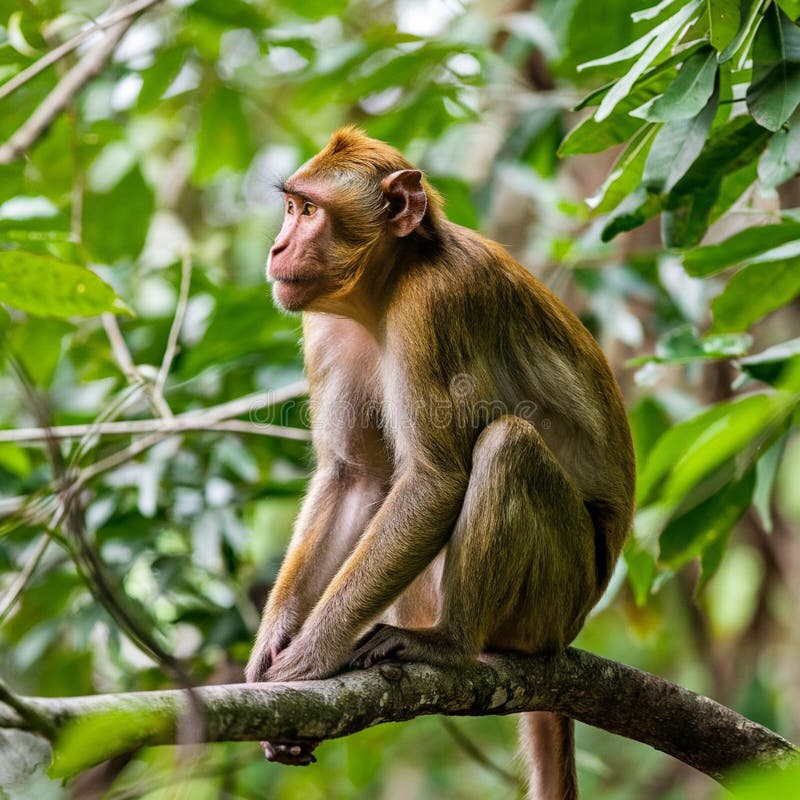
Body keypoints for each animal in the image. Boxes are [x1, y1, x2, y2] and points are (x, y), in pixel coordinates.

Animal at [245, 126, 635, 799]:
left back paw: (448, 645)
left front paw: (310, 655)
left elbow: (435, 480)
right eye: (292, 206)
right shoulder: (323, 323)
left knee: (507, 446)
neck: (383, 292)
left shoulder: (434, 305)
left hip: (558, 597)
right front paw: (273, 642)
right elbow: (356, 478)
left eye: (309, 212)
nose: (277, 245)